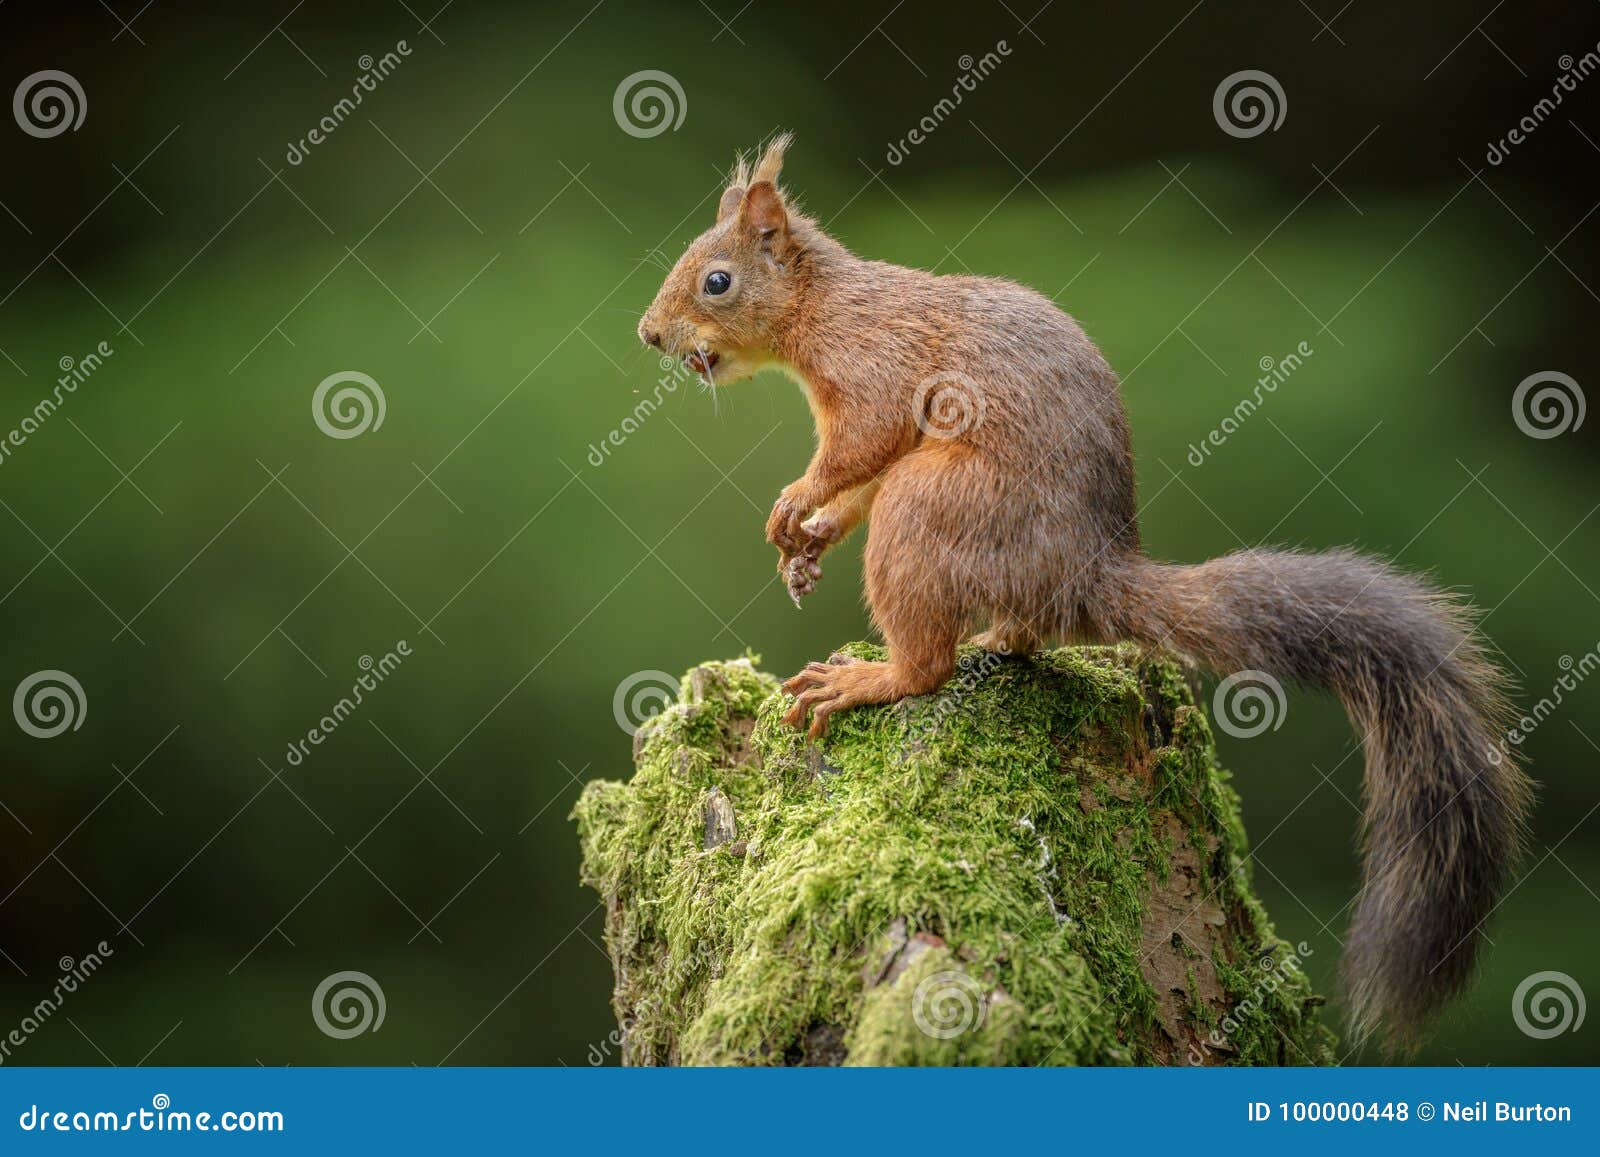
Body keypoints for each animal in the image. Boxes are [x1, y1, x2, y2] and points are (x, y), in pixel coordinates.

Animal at [638, 133, 1534, 1052]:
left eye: (718, 281)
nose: (649, 334)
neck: (825, 308)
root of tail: (1088, 569)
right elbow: (856, 480)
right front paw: (805, 543)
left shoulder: (874, 372)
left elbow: (860, 447)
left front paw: (796, 502)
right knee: (1015, 637)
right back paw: (989, 641)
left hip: (931, 509)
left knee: (928, 665)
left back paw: (870, 677)